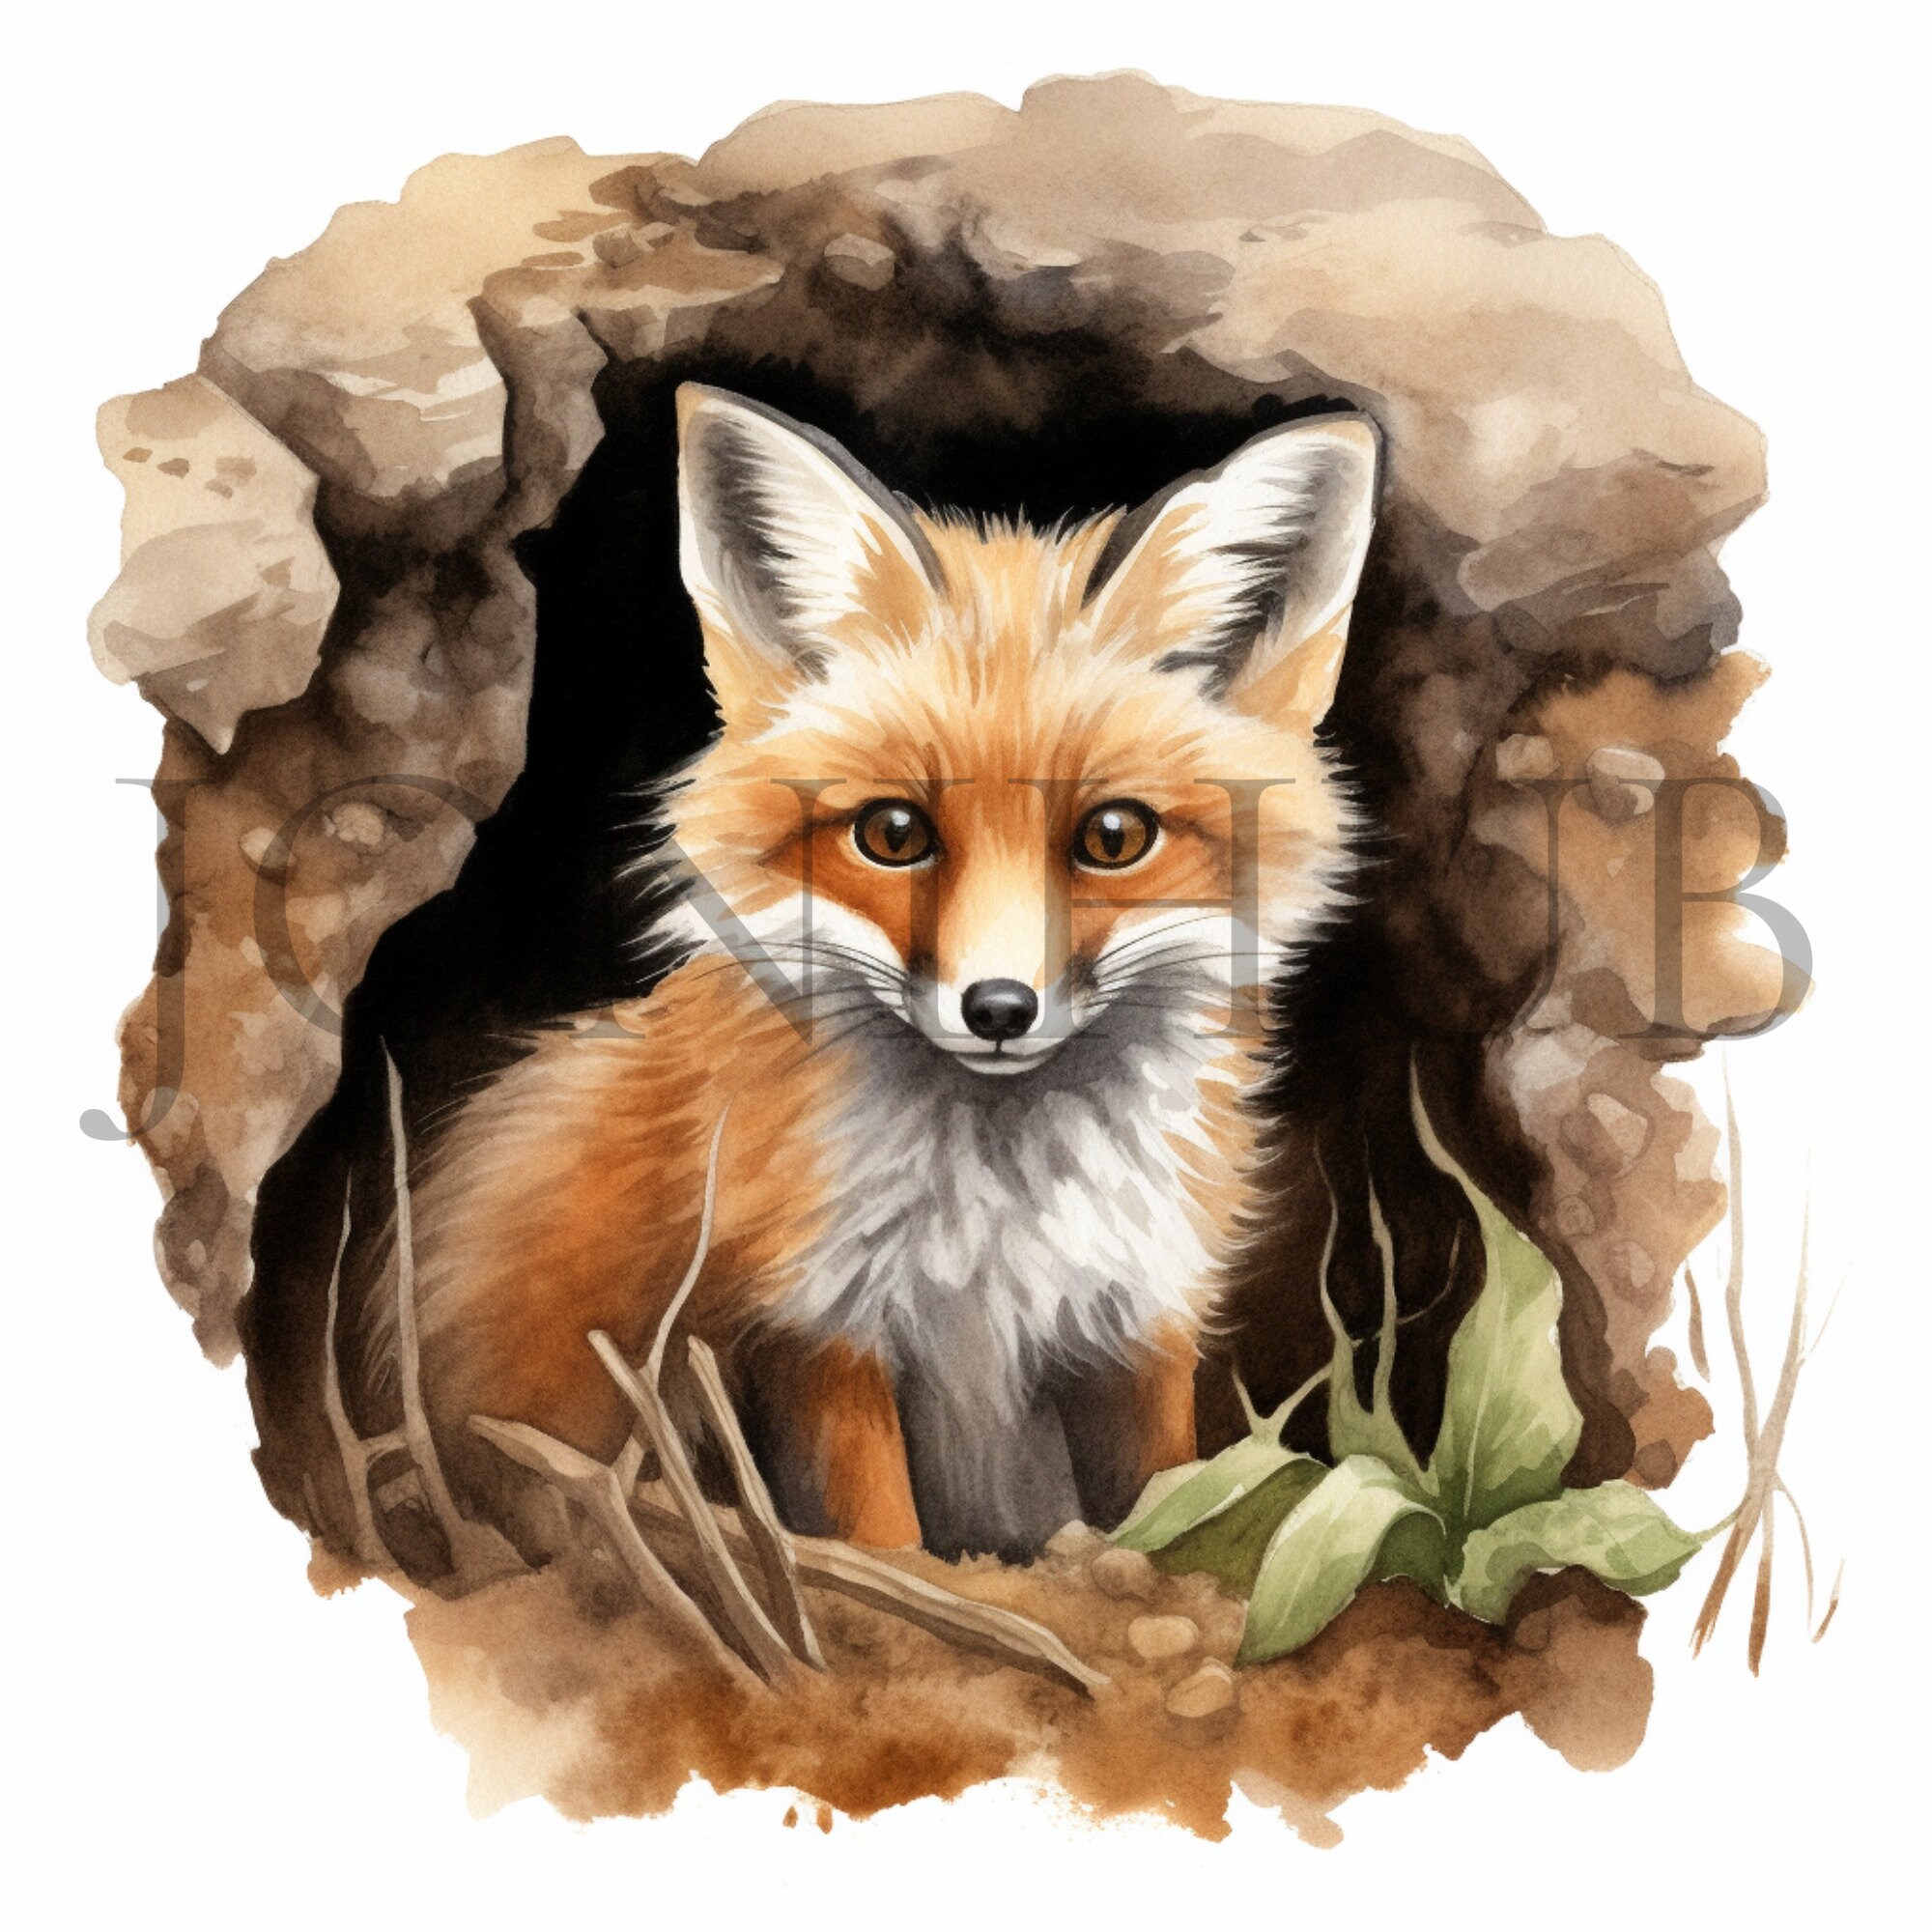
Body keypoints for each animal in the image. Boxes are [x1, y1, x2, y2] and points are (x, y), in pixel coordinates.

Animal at [393, 384, 1380, 1561]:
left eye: (1113, 837)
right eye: (893, 833)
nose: (997, 1008)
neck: (996, 1219)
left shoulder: (1135, 1320)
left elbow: (1166, 1508)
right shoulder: (819, 1327)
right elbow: (885, 1542)